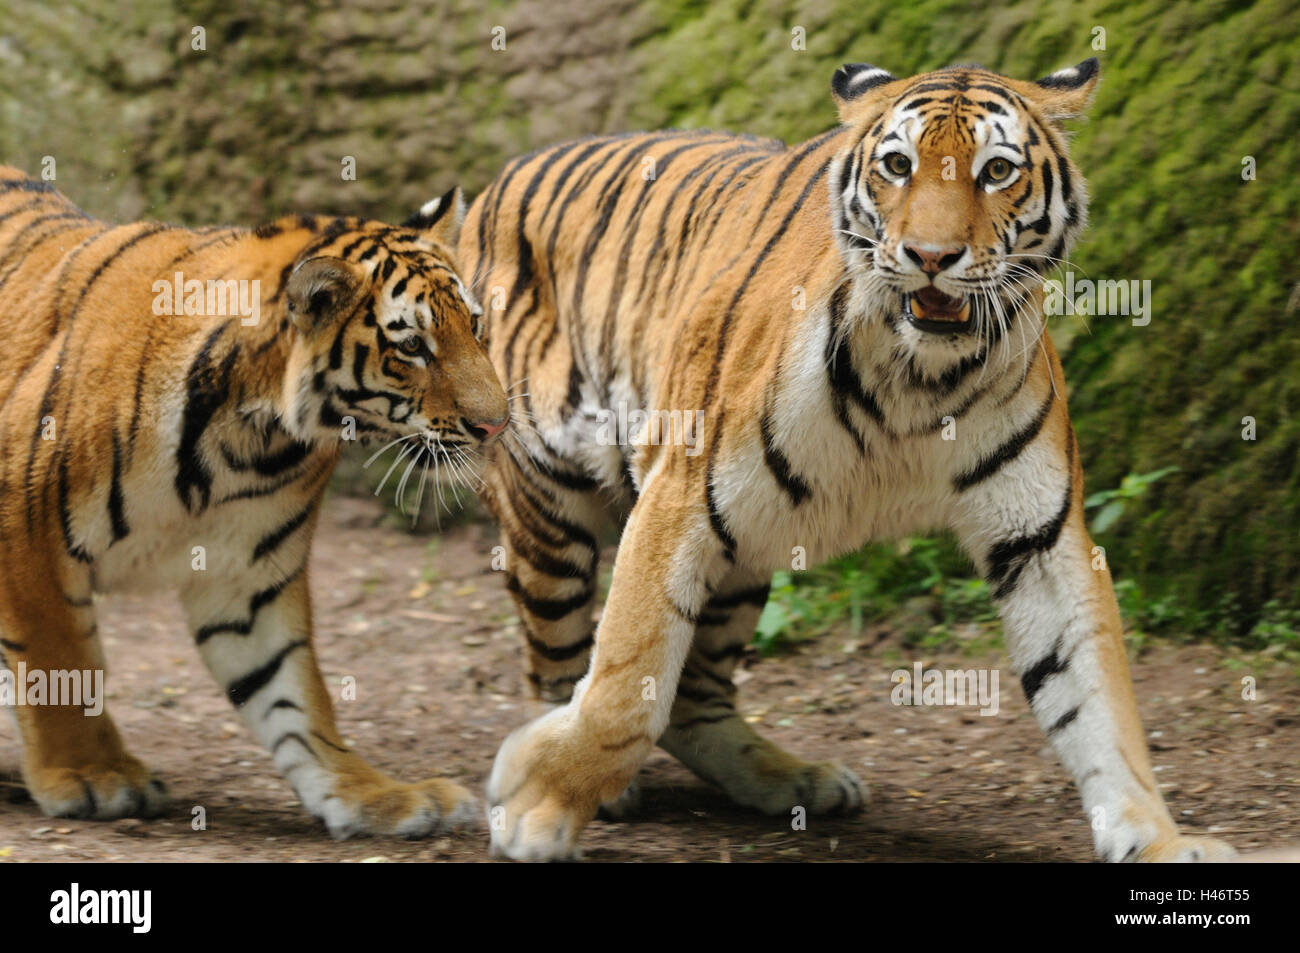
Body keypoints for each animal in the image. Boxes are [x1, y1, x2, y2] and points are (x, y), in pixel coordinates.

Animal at [0, 167, 508, 837]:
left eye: (473, 326)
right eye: (413, 347)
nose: (498, 425)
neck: (253, 438)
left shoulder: (247, 574)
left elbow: (291, 693)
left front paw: (374, 794)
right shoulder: (25, 529)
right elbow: (57, 661)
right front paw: (91, 774)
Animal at [460, 58, 1238, 862]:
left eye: (996, 172)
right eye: (898, 166)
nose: (932, 258)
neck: (924, 379)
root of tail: (493, 183)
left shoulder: (1042, 541)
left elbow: (1097, 700)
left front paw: (1157, 840)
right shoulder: (676, 497)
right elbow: (624, 683)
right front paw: (538, 803)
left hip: (742, 553)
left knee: (694, 696)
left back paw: (792, 779)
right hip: (551, 511)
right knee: (558, 663)